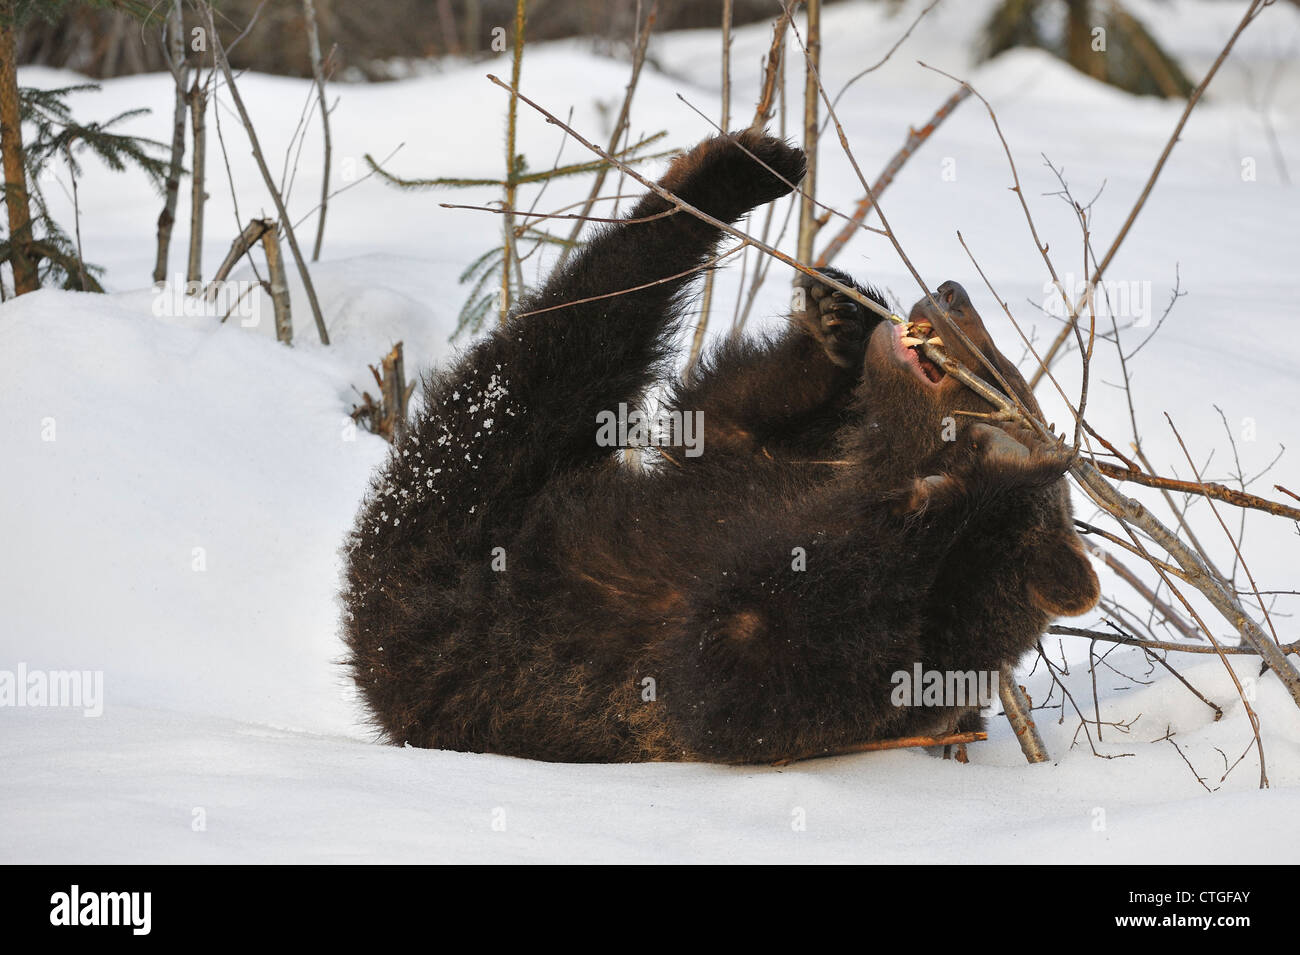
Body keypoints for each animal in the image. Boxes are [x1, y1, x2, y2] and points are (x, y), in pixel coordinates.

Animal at [339, 128, 1100, 764]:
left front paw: (972, 482)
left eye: (1004, 376)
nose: (953, 291)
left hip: (443, 557)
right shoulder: (767, 466)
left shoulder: (883, 672)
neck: (868, 470)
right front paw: (840, 321)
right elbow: (713, 417)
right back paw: (748, 165)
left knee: (546, 355)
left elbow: (729, 677)